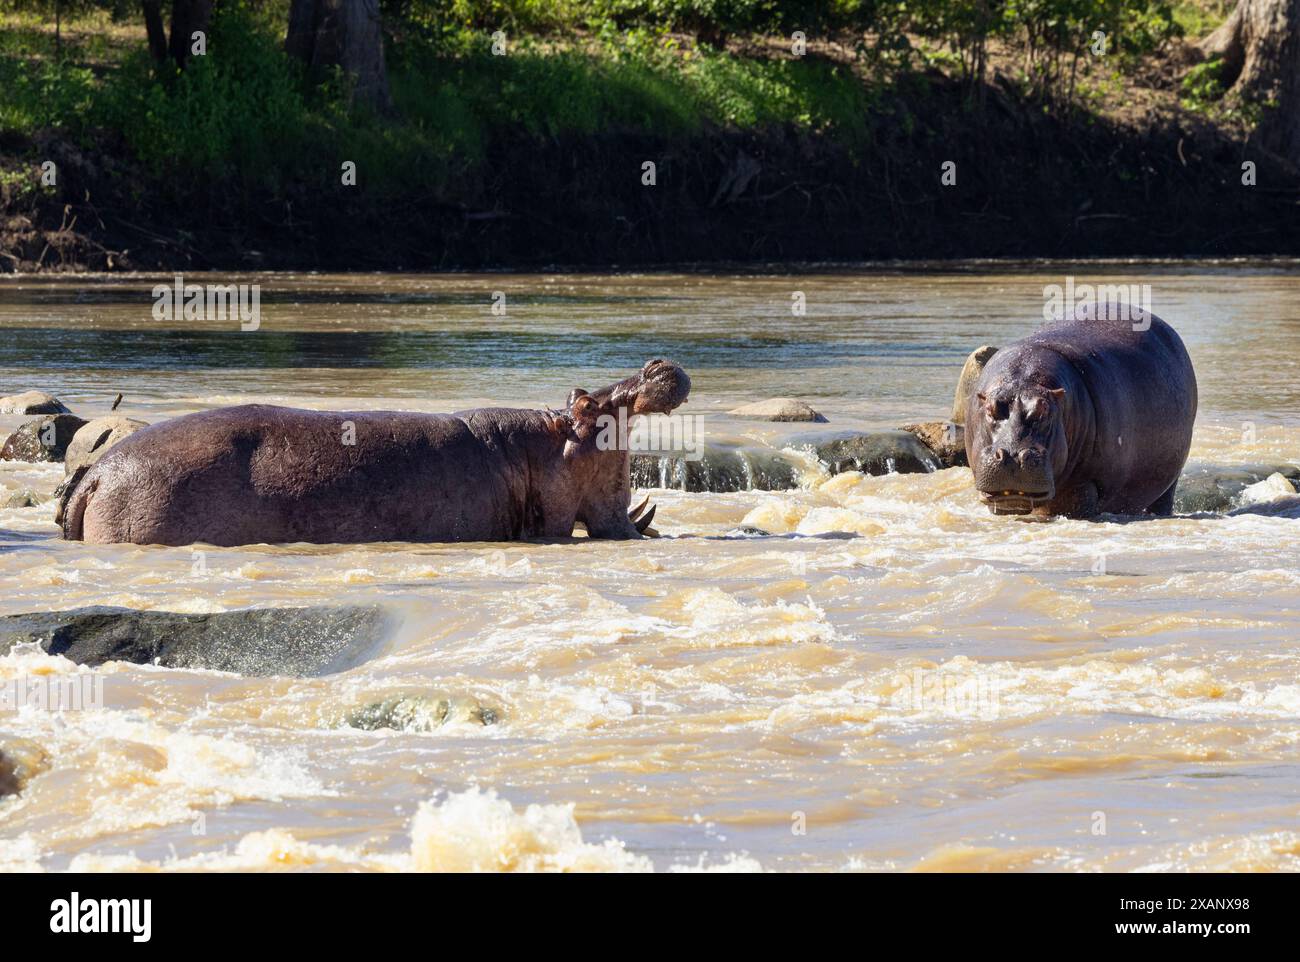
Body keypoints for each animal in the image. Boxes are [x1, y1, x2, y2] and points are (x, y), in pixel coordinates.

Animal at [965, 304, 1197, 518]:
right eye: (990, 408)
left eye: (1044, 410)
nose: (1013, 456)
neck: (1022, 380)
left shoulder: (1084, 484)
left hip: (1169, 480)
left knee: (1163, 499)